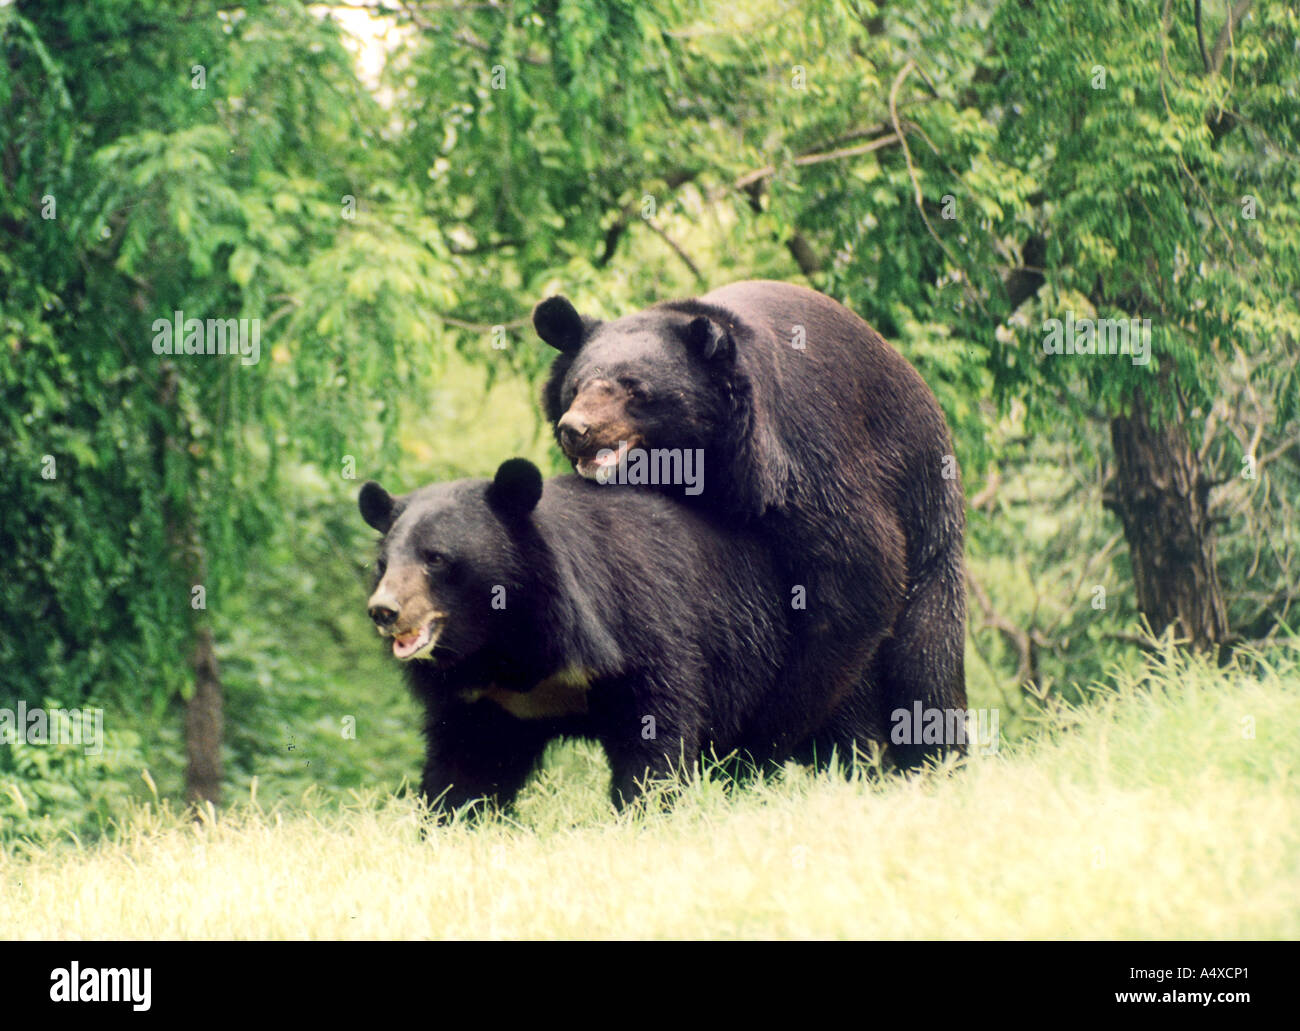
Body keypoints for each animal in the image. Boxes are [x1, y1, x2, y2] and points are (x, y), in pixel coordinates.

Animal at [358, 458, 795, 815]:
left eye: (435, 558)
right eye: (383, 563)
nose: (383, 610)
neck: (503, 640)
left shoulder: (641, 631)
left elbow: (653, 734)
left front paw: (643, 812)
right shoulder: (486, 699)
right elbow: (467, 766)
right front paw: (450, 822)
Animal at [533, 280, 967, 769]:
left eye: (635, 390)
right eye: (576, 388)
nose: (576, 429)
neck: (702, 461)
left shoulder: (807, 459)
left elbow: (859, 571)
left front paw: (763, 736)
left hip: (929, 519)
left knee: (924, 656)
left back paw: (932, 757)